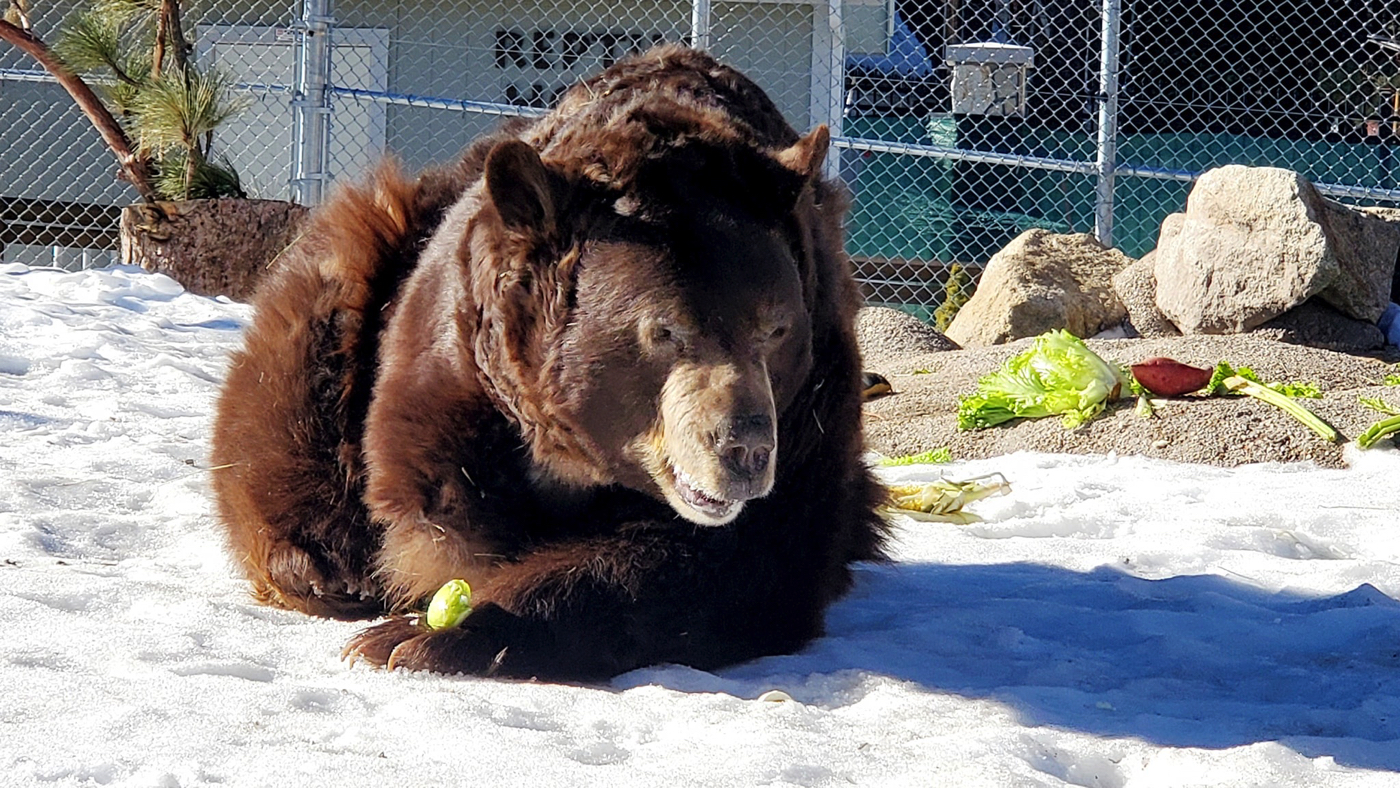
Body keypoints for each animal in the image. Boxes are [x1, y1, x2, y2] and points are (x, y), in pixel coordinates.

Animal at [210, 45, 888, 681]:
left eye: (775, 328)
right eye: (664, 330)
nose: (743, 447)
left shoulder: (809, 413)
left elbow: (737, 561)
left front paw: (421, 635)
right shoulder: (463, 358)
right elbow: (436, 491)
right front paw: (411, 610)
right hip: (376, 253)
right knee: (296, 360)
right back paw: (320, 562)